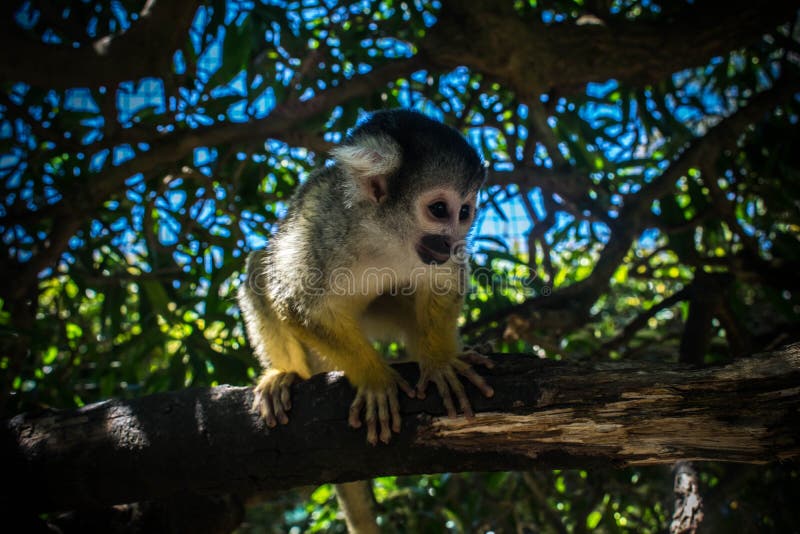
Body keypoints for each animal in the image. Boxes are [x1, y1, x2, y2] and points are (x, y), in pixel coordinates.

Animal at [238, 109, 494, 532]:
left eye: (465, 213)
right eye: (439, 210)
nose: (452, 241)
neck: (385, 234)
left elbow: (443, 283)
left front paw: (440, 361)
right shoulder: (321, 232)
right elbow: (296, 302)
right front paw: (374, 381)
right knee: (261, 267)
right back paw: (286, 374)